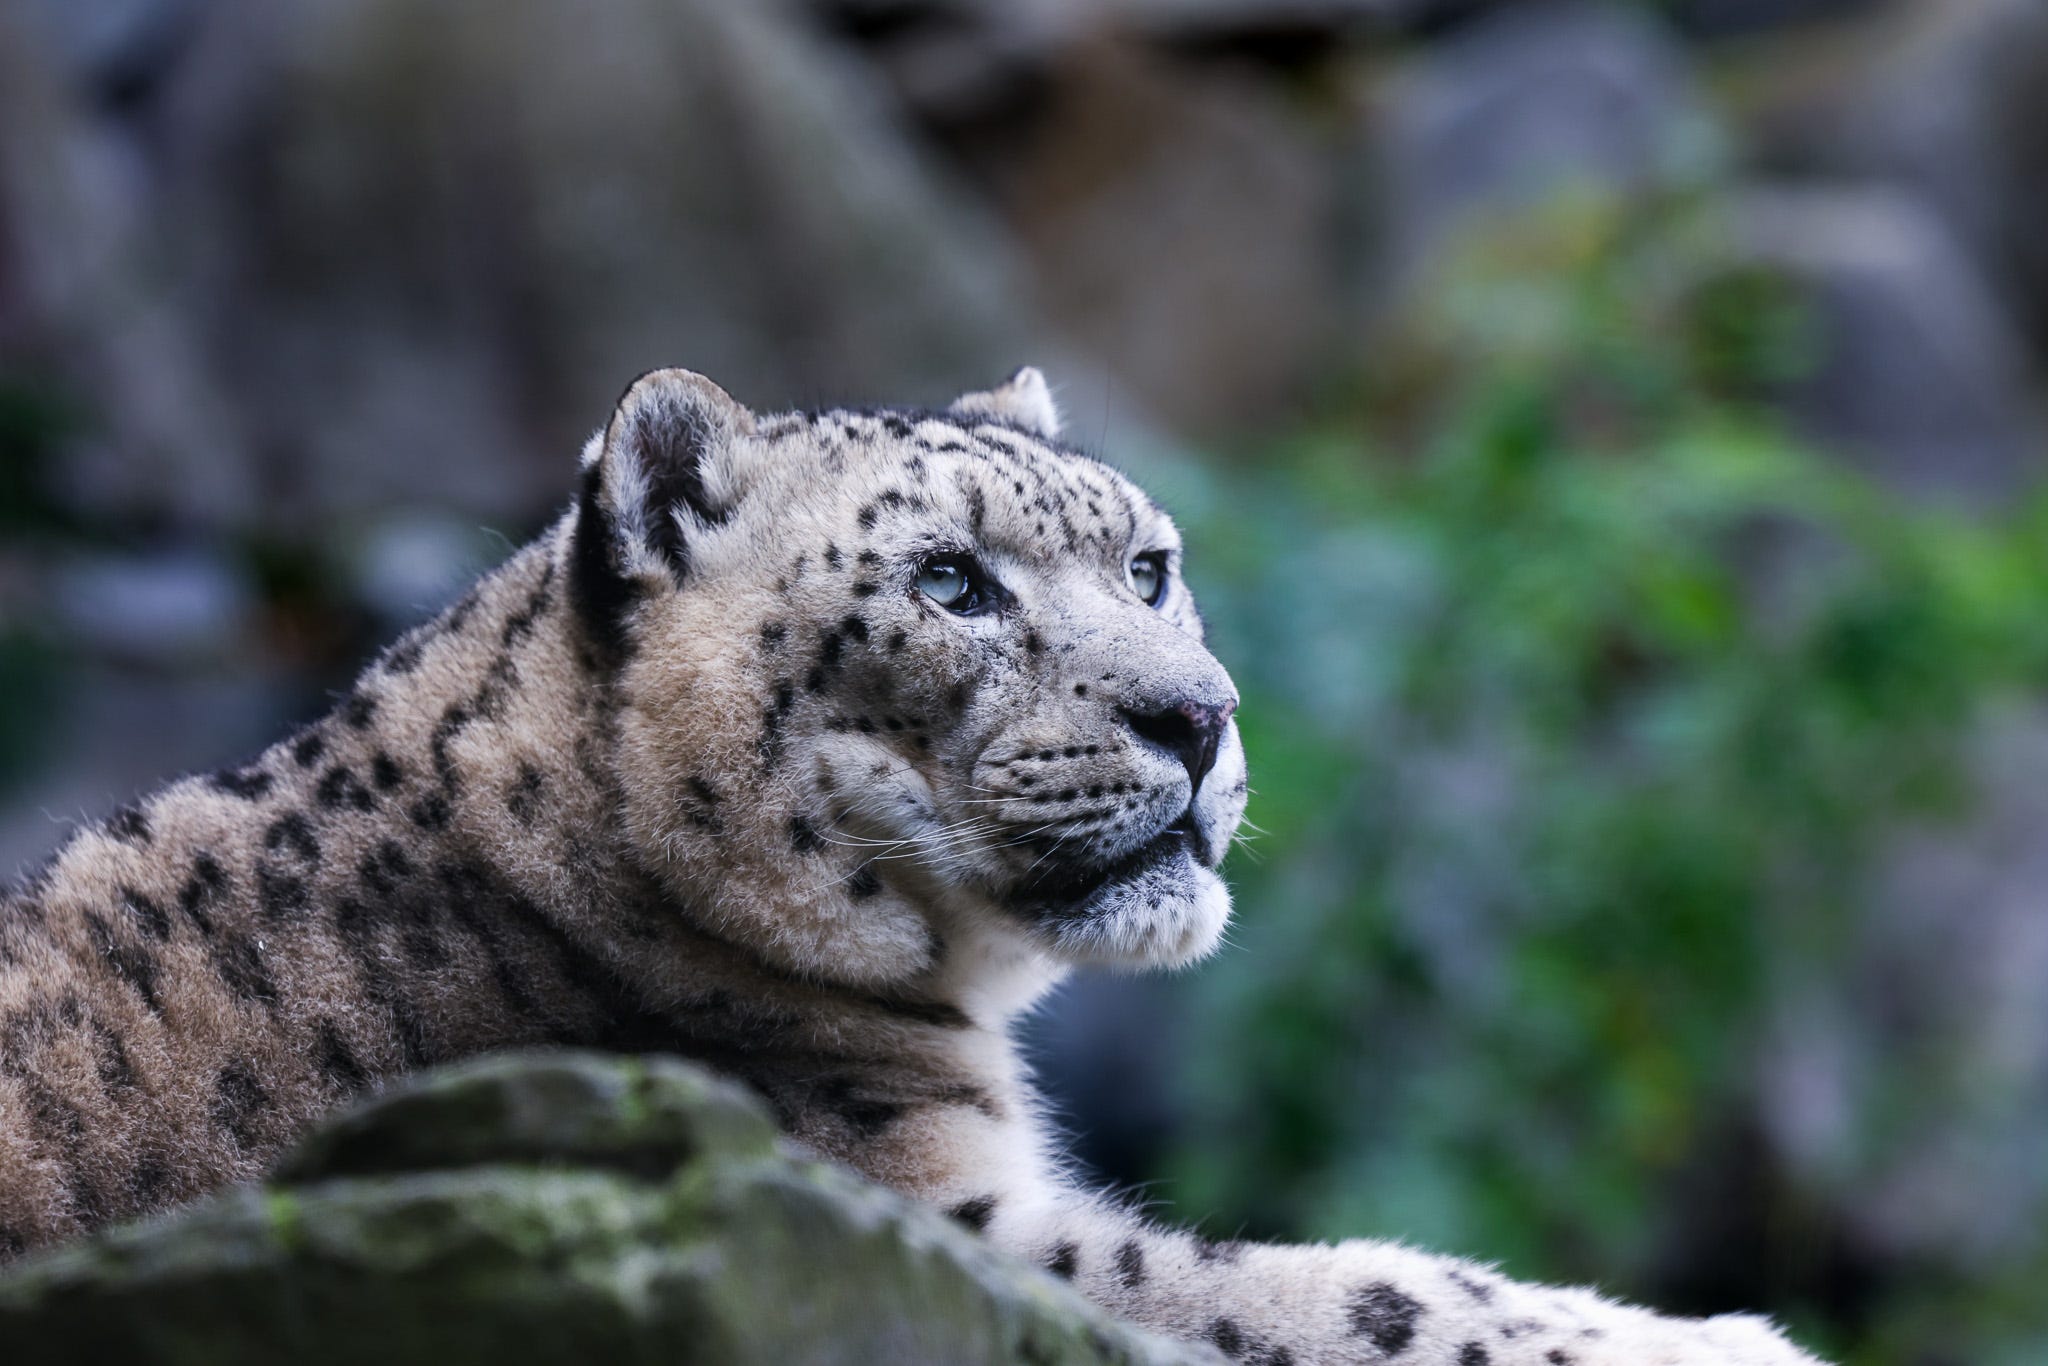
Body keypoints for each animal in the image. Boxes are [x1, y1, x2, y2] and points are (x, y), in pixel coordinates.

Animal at [0, 365, 1825, 1364]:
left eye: (1148, 565)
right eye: (951, 581)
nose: (1200, 715)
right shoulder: (926, 1222)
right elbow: (1339, 1294)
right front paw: (1723, 1339)